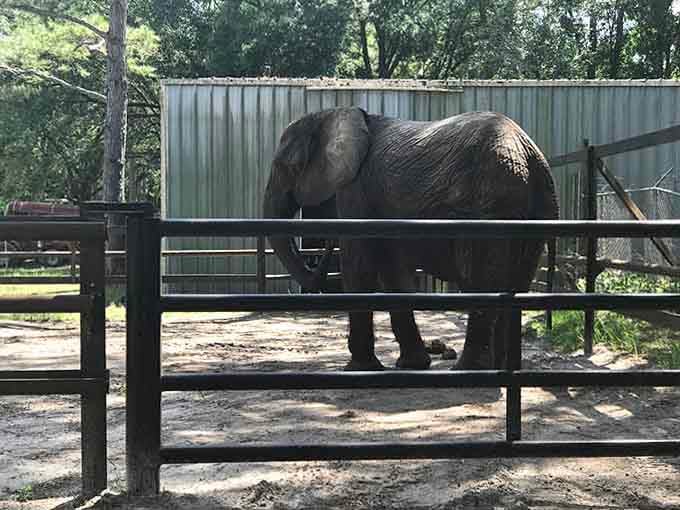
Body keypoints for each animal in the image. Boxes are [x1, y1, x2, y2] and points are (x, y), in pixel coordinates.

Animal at [263, 107, 558, 371]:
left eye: (287, 167)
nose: (323, 247)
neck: (332, 114)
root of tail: (529, 155)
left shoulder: (356, 190)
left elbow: (360, 264)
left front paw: (359, 368)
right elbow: (391, 270)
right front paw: (412, 365)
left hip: (488, 207)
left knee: (480, 281)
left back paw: (469, 370)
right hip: (535, 211)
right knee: (517, 281)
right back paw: (502, 369)